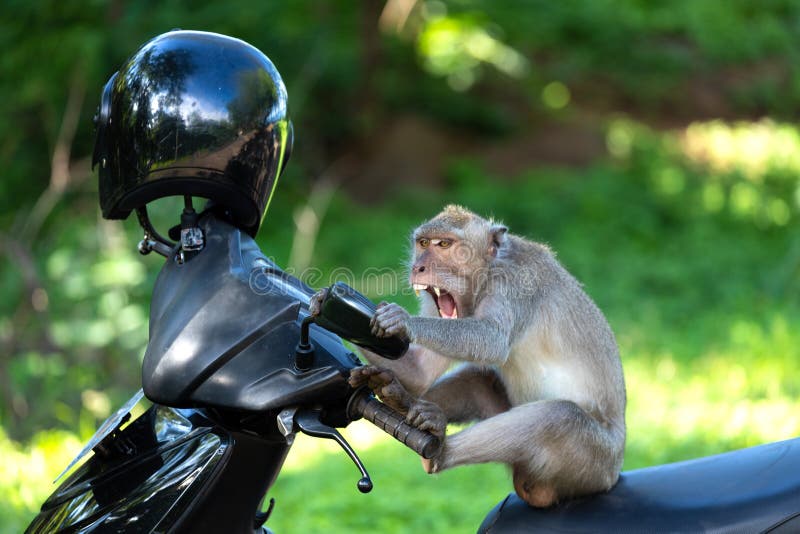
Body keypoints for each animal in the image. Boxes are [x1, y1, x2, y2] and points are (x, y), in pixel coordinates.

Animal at [313, 205, 626, 508]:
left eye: (444, 244)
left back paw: (440, 450)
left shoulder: (515, 281)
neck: (488, 272)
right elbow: (419, 372)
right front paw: (322, 303)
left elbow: (492, 341)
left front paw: (403, 321)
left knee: (559, 416)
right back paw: (400, 399)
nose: (418, 266)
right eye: (423, 243)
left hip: (594, 465)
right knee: (477, 380)